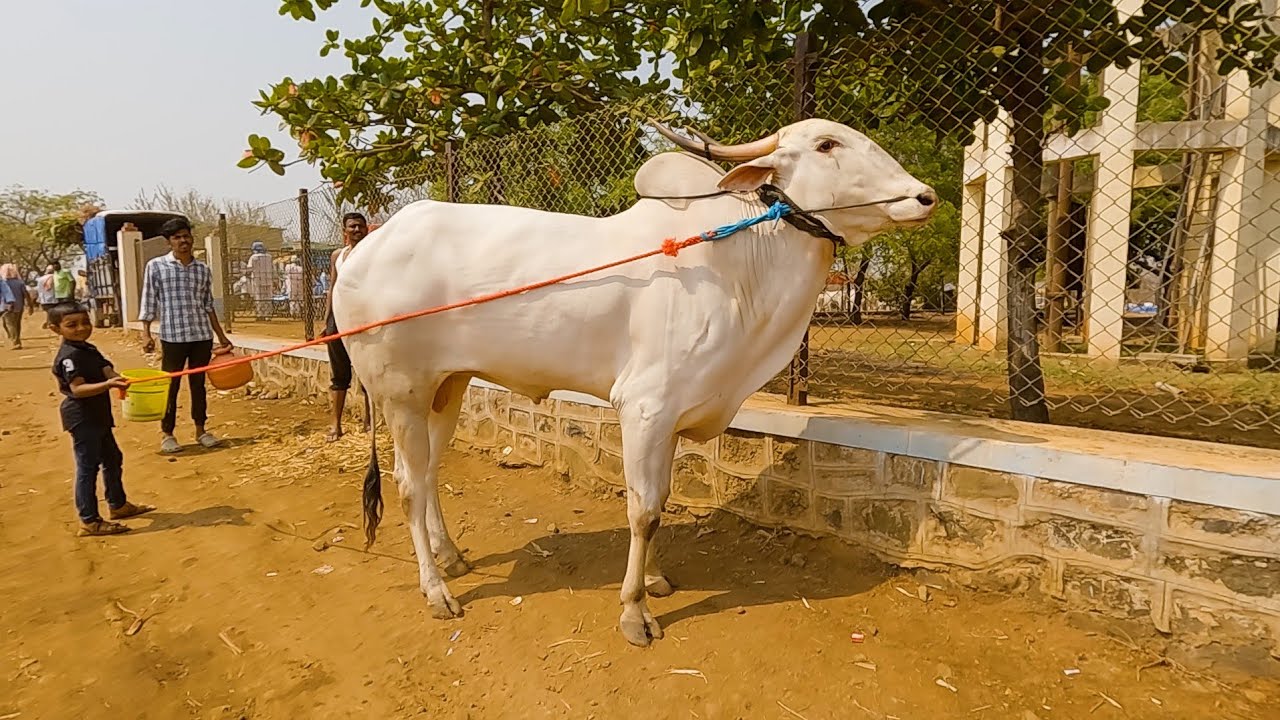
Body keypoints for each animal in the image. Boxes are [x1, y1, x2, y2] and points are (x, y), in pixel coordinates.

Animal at [331, 117, 937, 647]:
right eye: (828, 145)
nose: (925, 196)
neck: (737, 260)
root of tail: (362, 251)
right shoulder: (646, 406)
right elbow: (643, 511)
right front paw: (634, 612)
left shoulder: (671, 416)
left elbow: (660, 503)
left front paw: (654, 580)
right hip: (400, 394)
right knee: (409, 486)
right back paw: (436, 590)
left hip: (447, 388)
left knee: (430, 473)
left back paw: (452, 557)